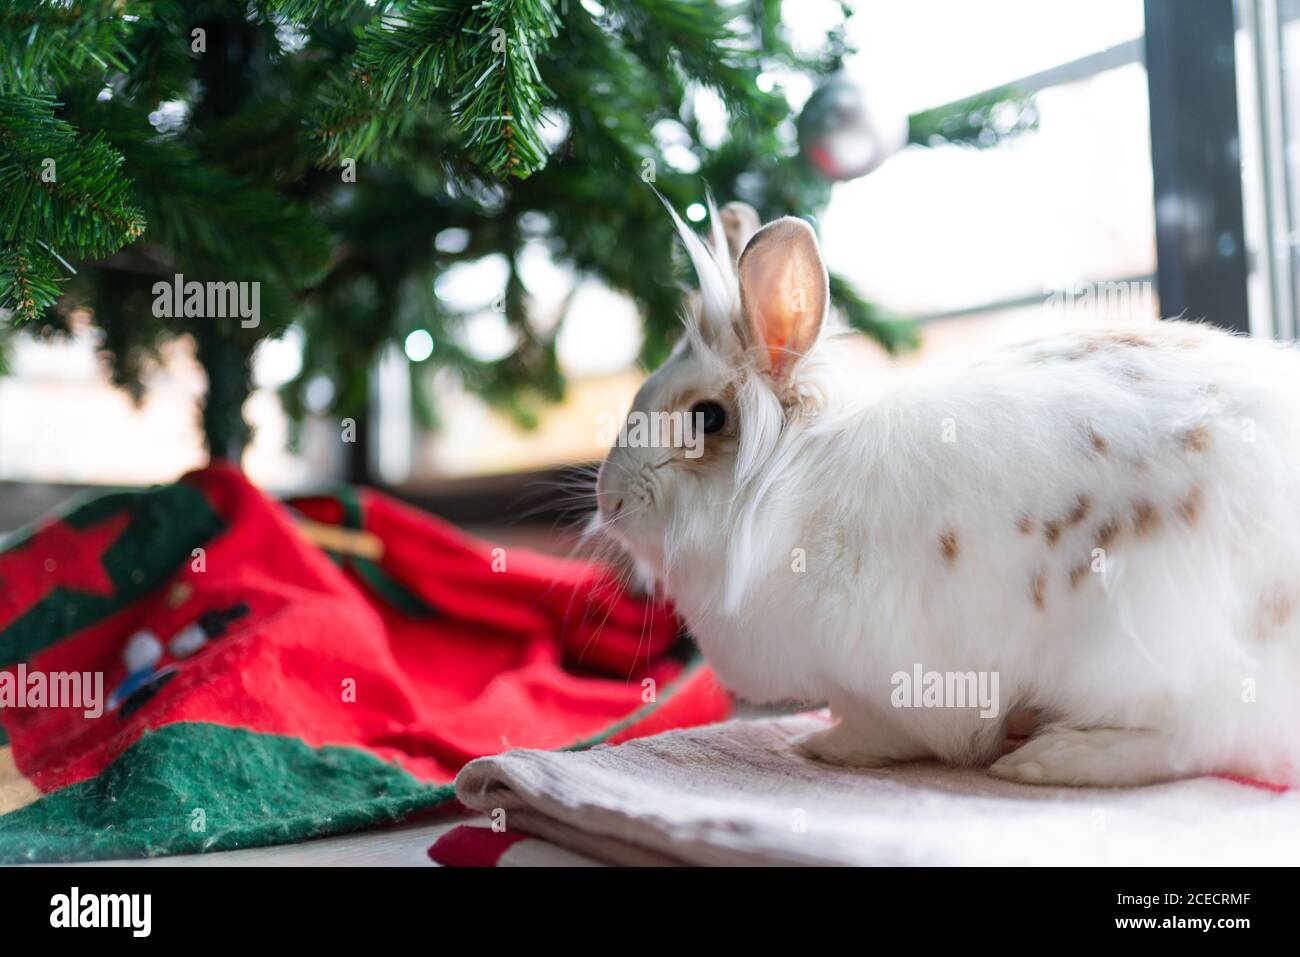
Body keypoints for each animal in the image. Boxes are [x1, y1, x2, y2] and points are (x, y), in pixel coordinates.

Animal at [594, 198, 1300, 788]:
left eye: (707, 418)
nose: (610, 502)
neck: (793, 481)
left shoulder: (885, 677)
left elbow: (882, 728)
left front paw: (825, 750)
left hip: (1142, 649)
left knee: (1197, 737)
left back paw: (1053, 758)